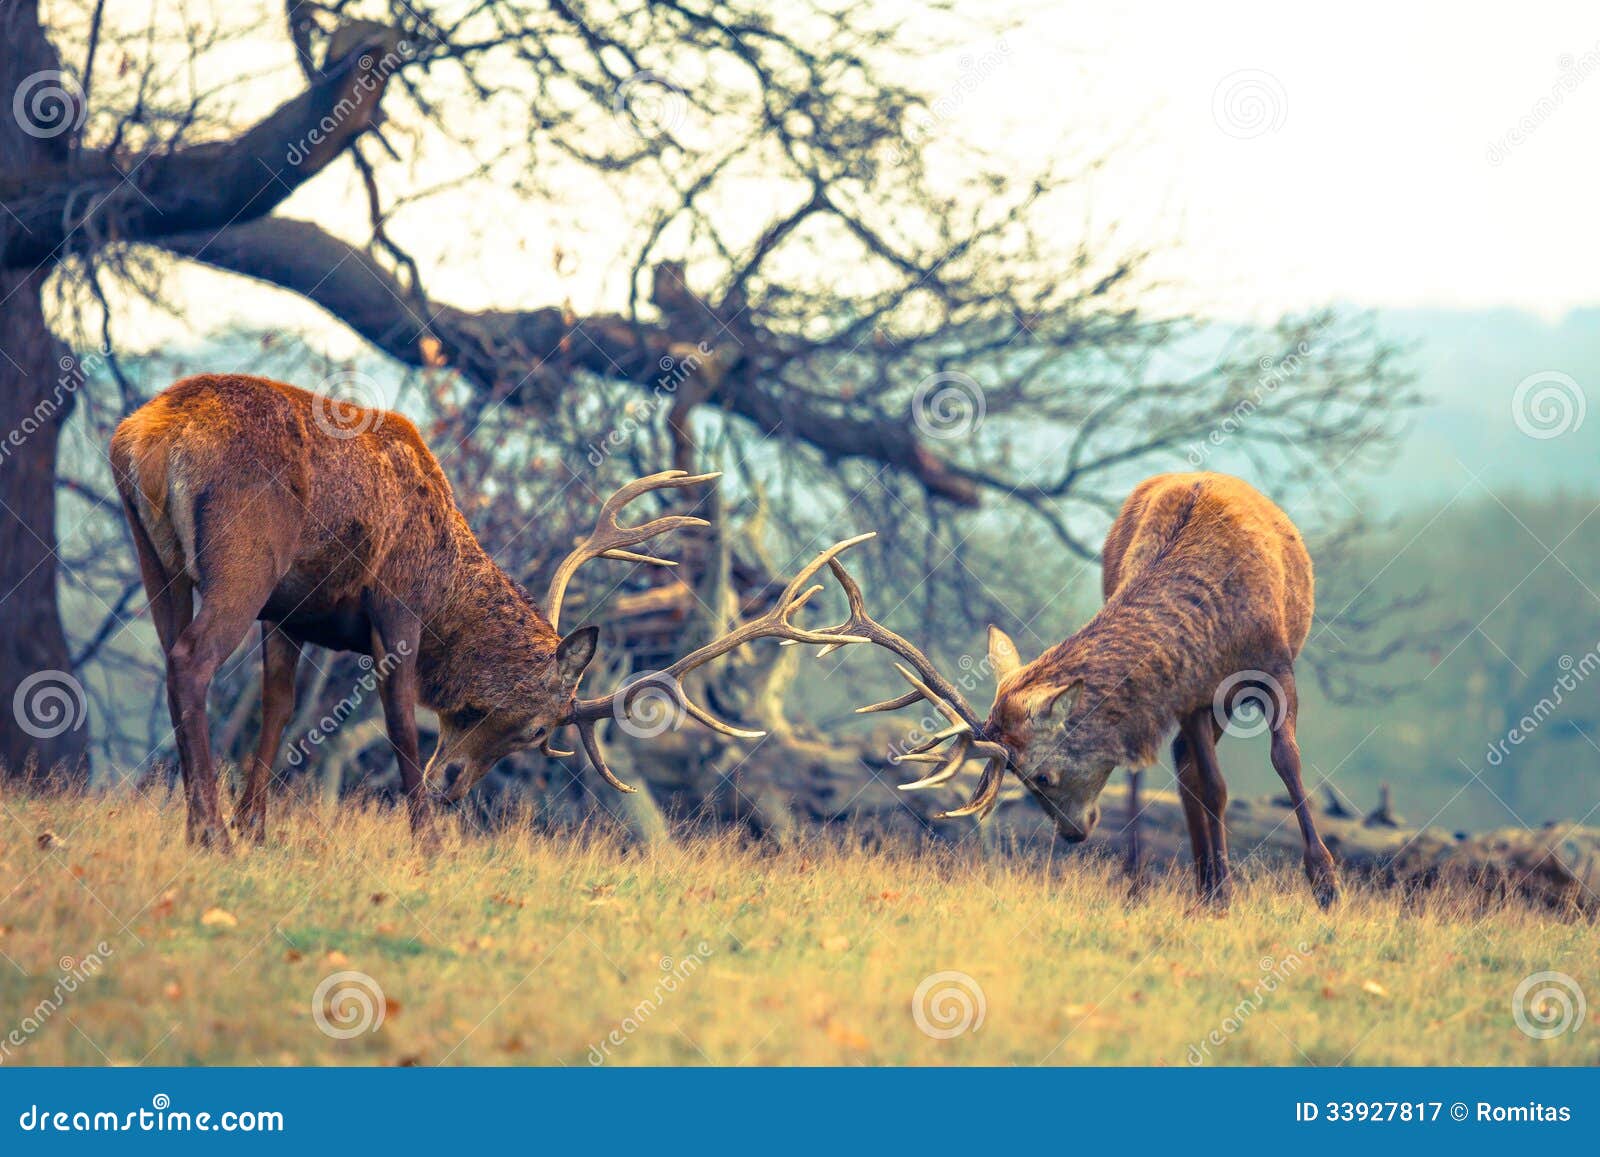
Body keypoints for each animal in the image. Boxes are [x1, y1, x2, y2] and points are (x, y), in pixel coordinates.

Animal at [110, 373, 875, 851]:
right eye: (538, 730)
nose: (453, 789)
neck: (449, 589)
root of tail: (149, 434)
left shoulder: (289, 615)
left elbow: (278, 711)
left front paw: (259, 829)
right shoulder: (397, 607)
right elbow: (400, 725)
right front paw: (426, 841)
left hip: (157, 560)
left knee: (173, 656)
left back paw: (203, 825)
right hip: (245, 559)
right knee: (192, 661)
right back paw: (207, 831)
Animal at [804, 471, 1338, 910]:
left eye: (1040, 776)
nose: (1072, 833)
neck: (1218, 624)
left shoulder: (1275, 666)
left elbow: (1285, 761)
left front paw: (1324, 883)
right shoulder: (1190, 692)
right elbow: (1212, 786)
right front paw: (1223, 893)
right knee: (1182, 766)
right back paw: (1164, 884)